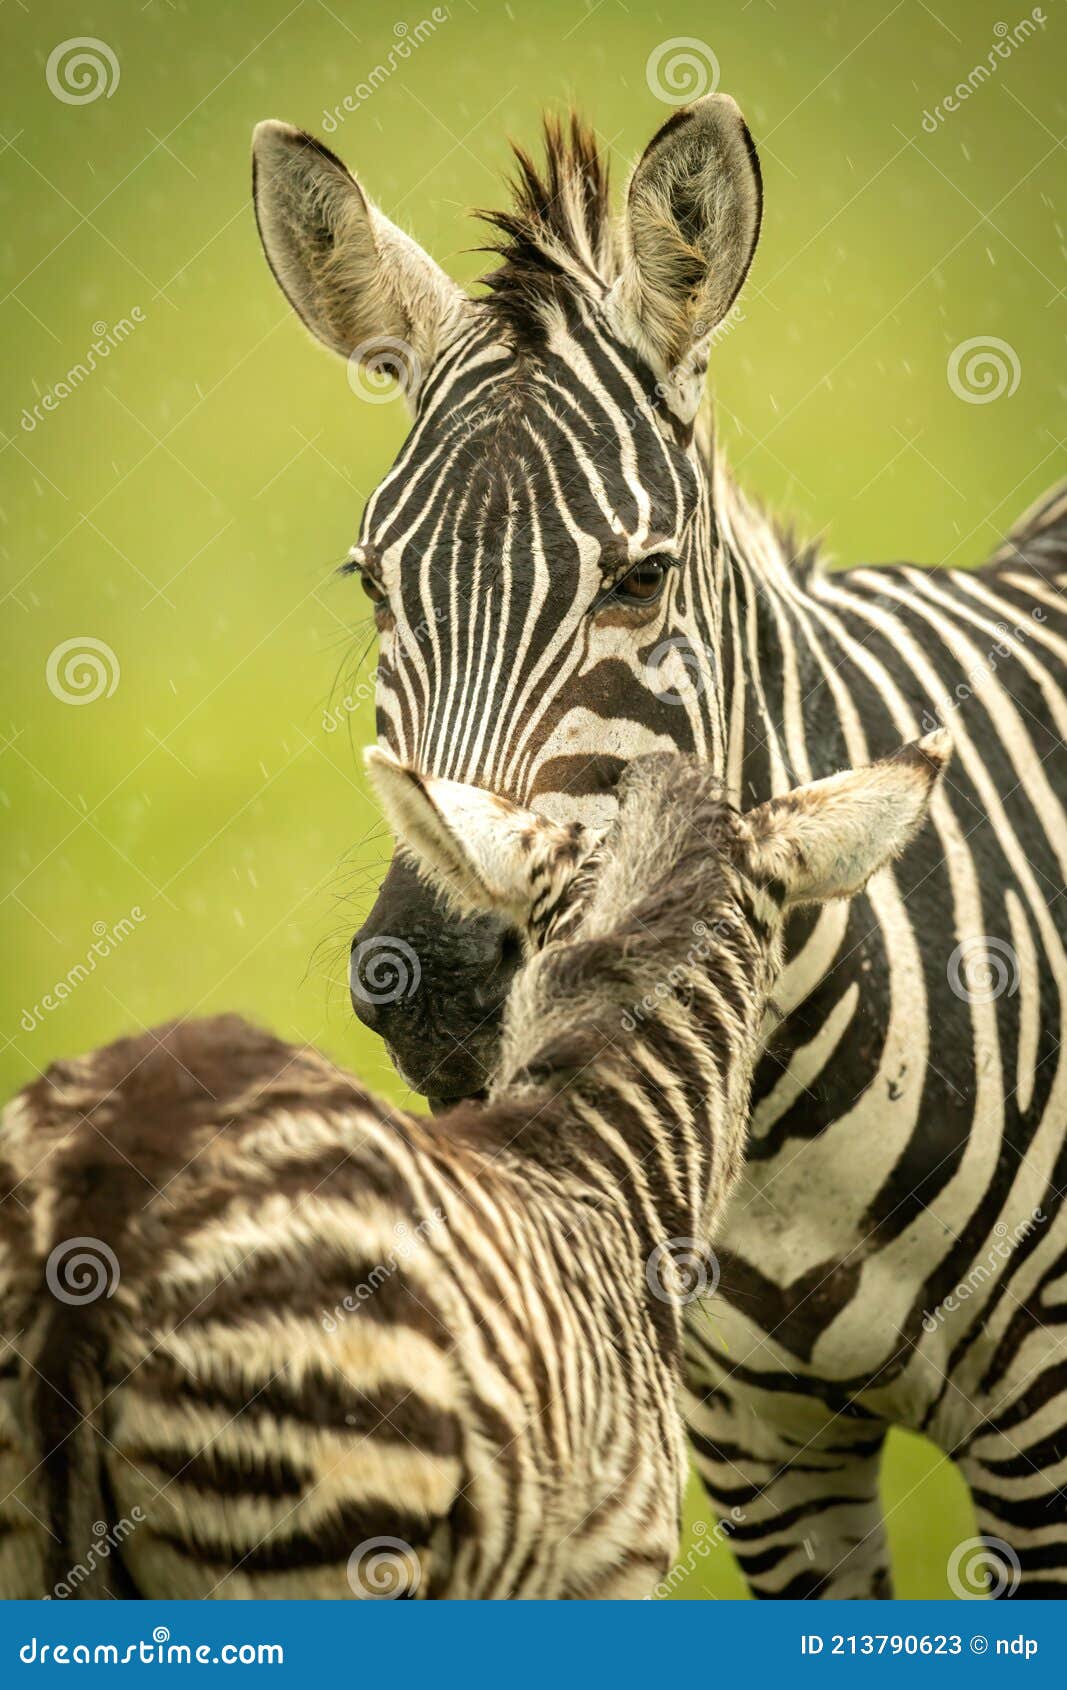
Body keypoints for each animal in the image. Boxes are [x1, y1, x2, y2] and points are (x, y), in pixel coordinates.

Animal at [251, 90, 1067, 1598]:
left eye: (637, 579)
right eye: (373, 587)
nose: (431, 981)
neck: (784, 1141)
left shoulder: (1043, 1427)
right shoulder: (758, 1459)